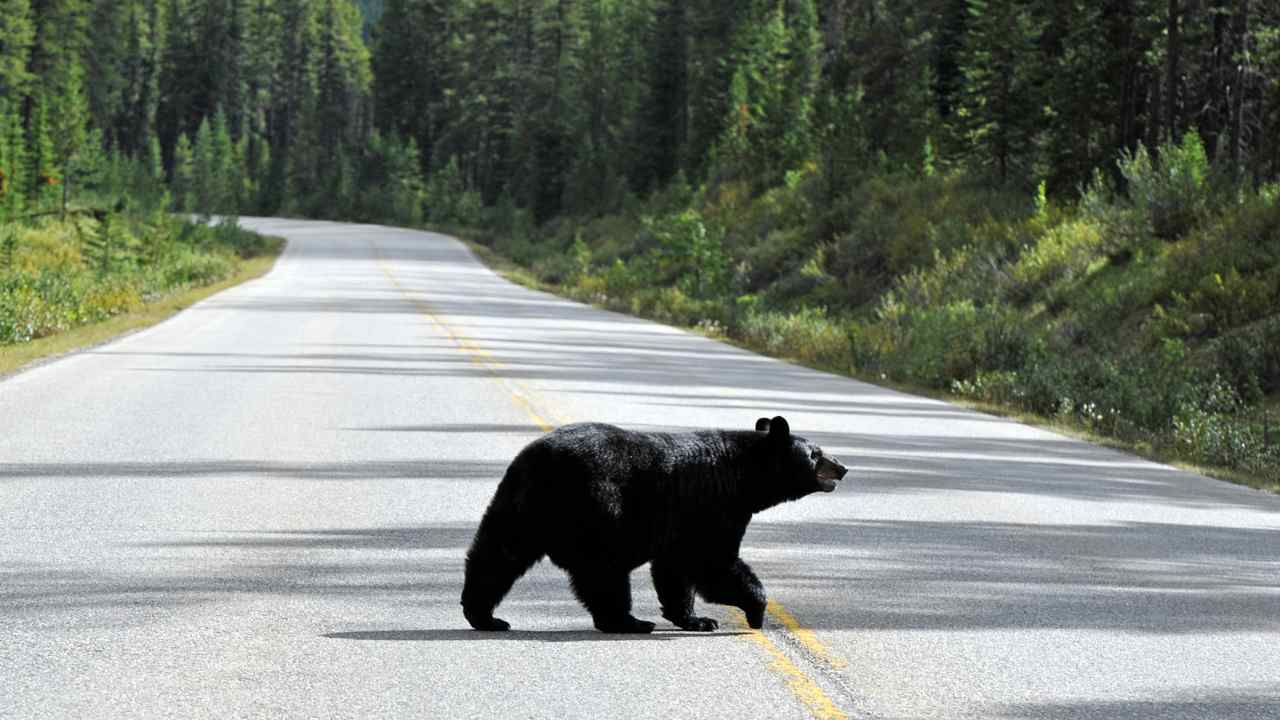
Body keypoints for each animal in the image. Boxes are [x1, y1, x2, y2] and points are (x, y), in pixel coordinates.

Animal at [460, 416, 848, 633]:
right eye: (815, 453)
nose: (842, 467)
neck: (742, 477)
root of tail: (541, 461)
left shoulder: (682, 523)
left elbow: (675, 570)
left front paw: (697, 620)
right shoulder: (713, 507)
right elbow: (713, 563)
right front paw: (755, 611)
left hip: (519, 507)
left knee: (497, 555)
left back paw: (484, 616)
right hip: (599, 508)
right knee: (604, 571)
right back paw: (628, 622)